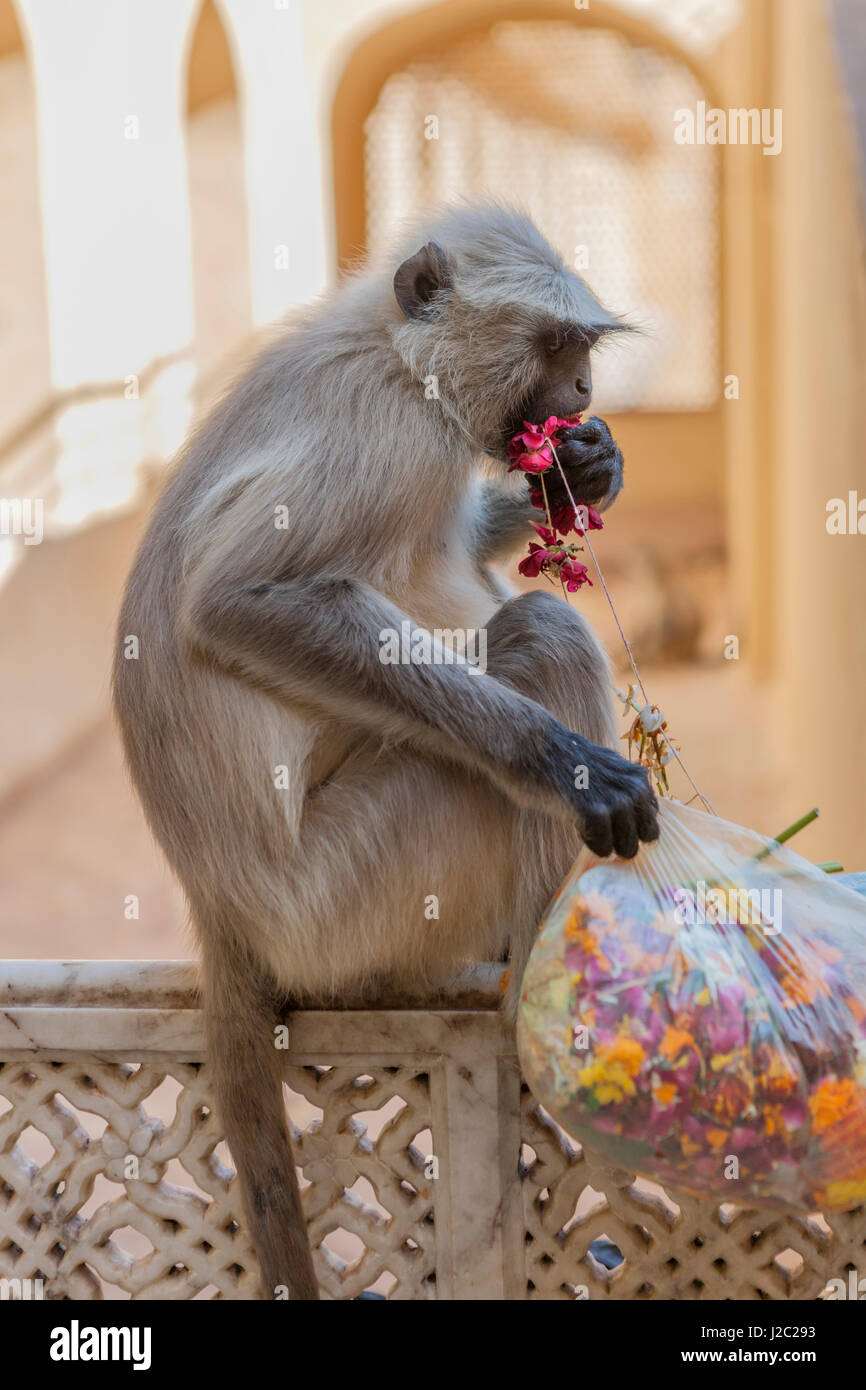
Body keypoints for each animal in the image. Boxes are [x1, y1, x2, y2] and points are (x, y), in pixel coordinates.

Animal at [112, 202, 659, 1301]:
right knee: (543, 635)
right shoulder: (388, 435)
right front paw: (558, 762)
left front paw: (582, 474)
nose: (584, 393)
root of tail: (218, 907)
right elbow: (237, 602)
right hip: (356, 889)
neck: (393, 355)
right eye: (557, 347)